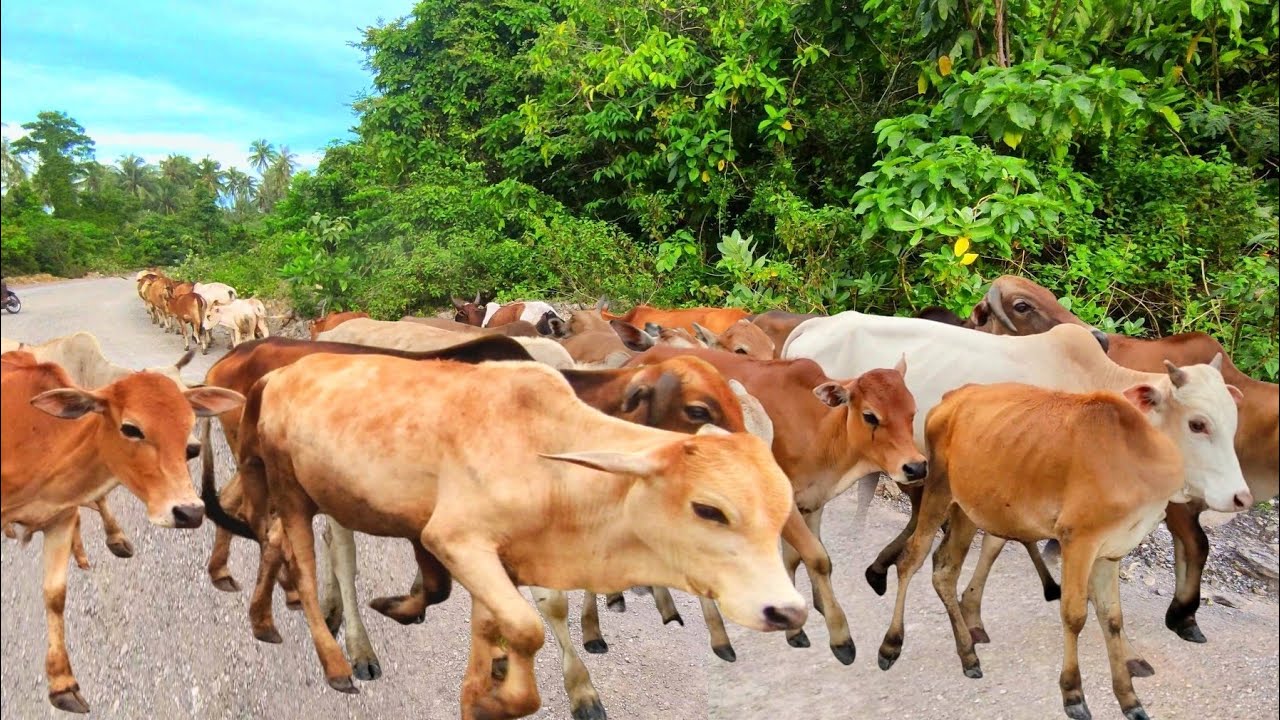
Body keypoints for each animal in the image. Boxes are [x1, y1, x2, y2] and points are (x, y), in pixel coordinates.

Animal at [1, 350, 243, 714]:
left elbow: (55, 596)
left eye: (189, 431)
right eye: (131, 428)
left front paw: (62, 684)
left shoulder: (61, 517)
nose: (190, 511)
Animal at [205, 355, 806, 719]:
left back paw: (267, 618)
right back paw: (337, 660)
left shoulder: (499, 560)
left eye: (779, 506)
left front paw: (480, 689)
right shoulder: (455, 541)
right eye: (709, 509)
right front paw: (505, 694)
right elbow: (527, 628)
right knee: (307, 566)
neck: (550, 453)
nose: (789, 611)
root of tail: (282, 373)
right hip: (291, 491)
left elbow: (490, 630)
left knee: (282, 542)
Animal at [619, 344, 924, 663]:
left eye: (912, 412)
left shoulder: (813, 502)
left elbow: (799, 557)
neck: (820, 428)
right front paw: (839, 637)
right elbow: (817, 557)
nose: (916, 467)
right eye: (870, 416)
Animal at [881, 368, 1245, 720]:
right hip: (937, 490)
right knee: (912, 559)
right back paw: (891, 645)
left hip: (969, 509)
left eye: (1233, 423)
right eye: (1197, 424)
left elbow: (1113, 618)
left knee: (945, 569)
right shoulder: (1078, 542)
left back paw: (968, 654)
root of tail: (954, 396)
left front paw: (1129, 698)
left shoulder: (1110, 552)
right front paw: (1073, 693)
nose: (1241, 497)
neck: (1138, 456)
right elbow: (1074, 615)